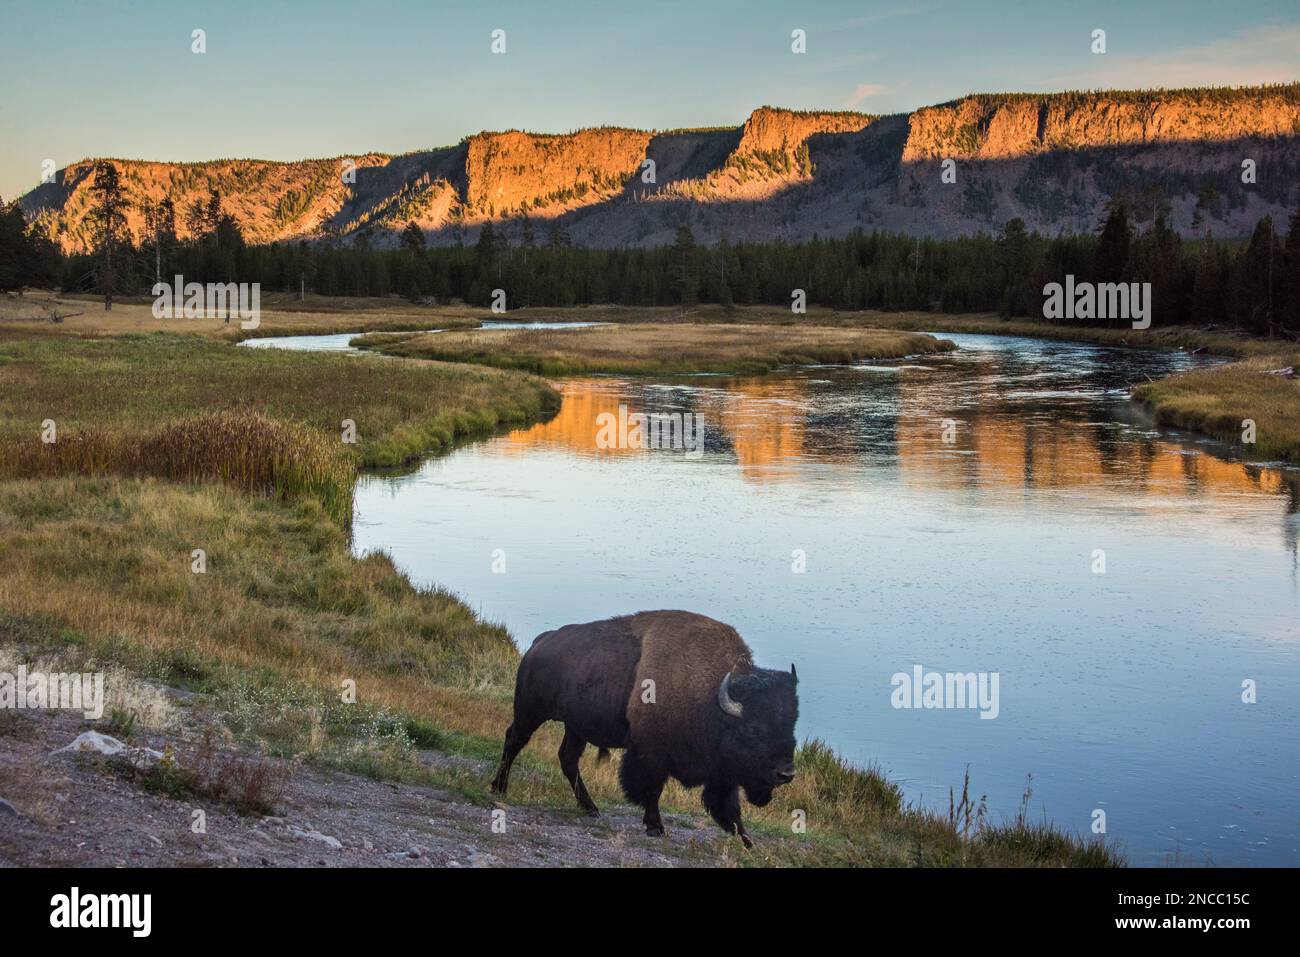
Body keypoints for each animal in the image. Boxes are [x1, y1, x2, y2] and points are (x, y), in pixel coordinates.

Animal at [489, 610, 798, 847]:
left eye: (791, 726)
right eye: (755, 729)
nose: (786, 773)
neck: (710, 699)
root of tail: (540, 641)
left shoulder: (723, 773)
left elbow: (729, 808)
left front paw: (748, 842)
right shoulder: (650, 755)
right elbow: (651, 791)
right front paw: (655, 827)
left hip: (574, 727)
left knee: (568, 759)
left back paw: (591, 809)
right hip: (530, 711)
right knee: (513, 741)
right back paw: (499, 788)